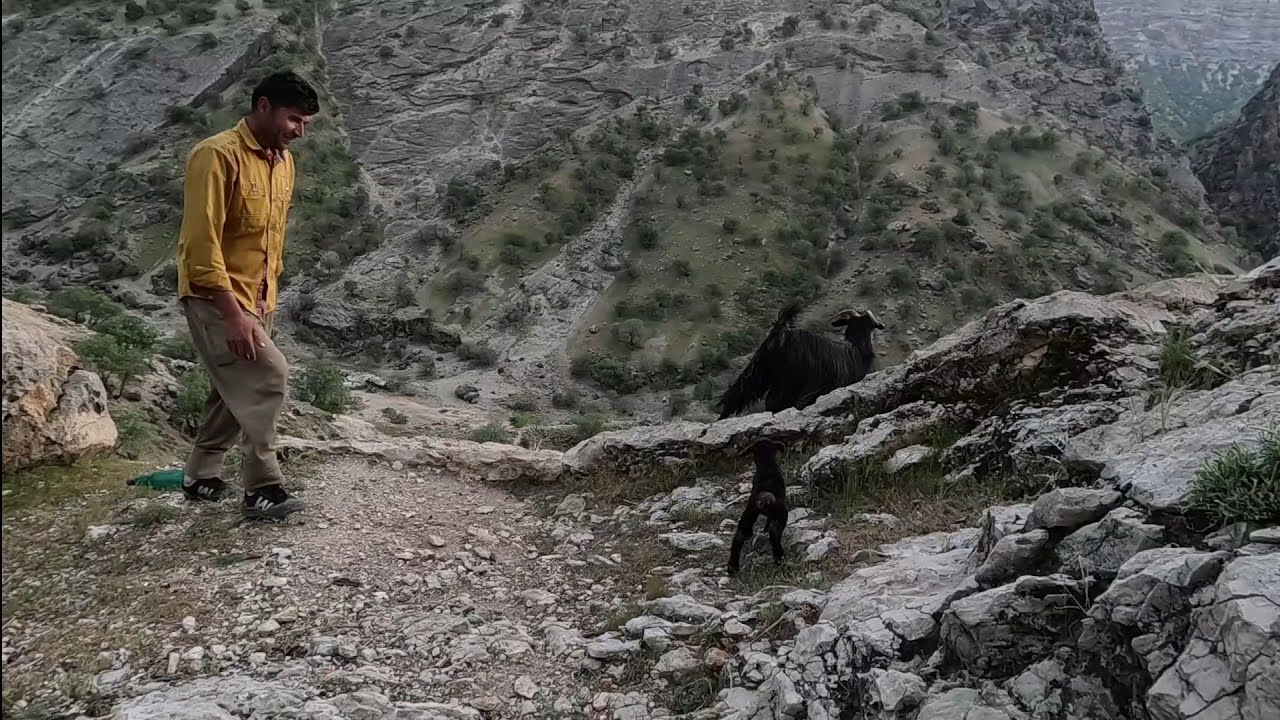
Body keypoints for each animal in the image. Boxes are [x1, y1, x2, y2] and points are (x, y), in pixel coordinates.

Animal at [715, 301, 886, 420]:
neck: (857, 347)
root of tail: (781, 334)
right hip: (789, 382)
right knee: (773, 402)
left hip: (758, 372)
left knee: (738, 394)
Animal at [727, 437, 789, 576]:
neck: (766, 466)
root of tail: (764, 497)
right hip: (780, 515)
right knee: (774, 533)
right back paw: (780, 559)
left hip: (748, 514)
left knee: (739, 536)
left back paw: (732, 567)